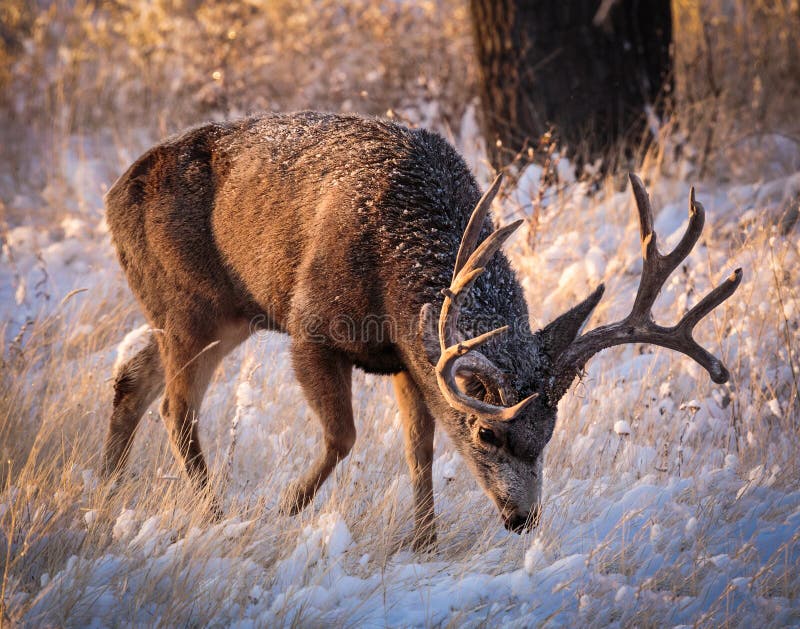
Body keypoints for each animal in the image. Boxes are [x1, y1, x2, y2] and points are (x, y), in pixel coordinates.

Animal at [102, 111, 741, 548]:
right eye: (488, 433)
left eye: (550, 433)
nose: (522, 519)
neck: (398, 251)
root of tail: (113, 195)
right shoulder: (311, 327)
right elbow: (344, 437)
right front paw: (286, 507)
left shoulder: (407, 358)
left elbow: (420, 448)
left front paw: (425, 541)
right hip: (190, 305)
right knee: (176, 407)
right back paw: (214, 515)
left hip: (220, 314)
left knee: (132, 376)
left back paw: (106, 492)